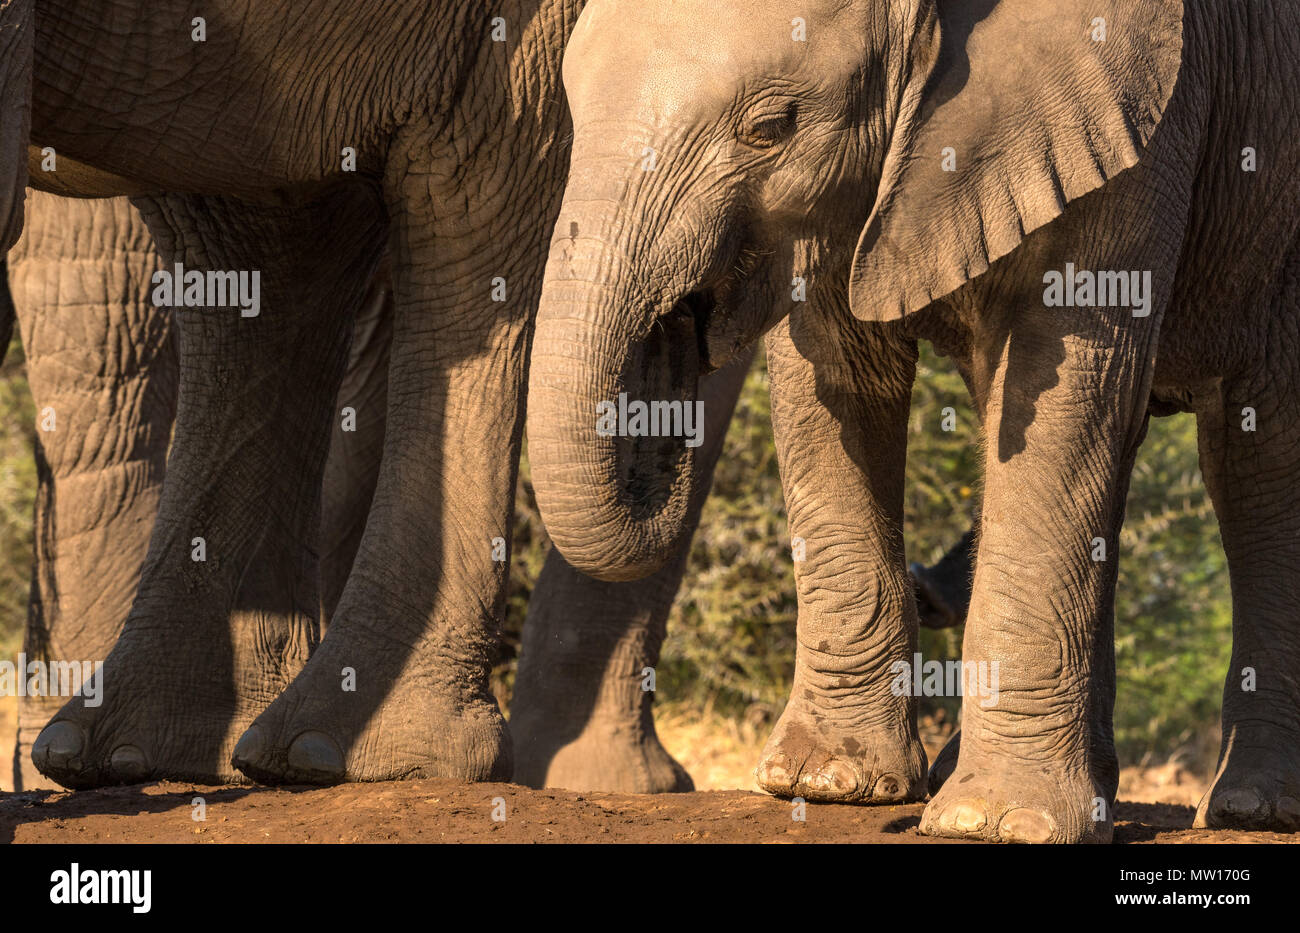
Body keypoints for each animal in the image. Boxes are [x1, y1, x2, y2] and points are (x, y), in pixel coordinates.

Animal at [525, 0, 1300, 843]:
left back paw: (1252, 807)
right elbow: (835, 373)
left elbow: (1062, 381)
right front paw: (830, 782)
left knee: (1259, 461)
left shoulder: (1136, 111)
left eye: (770, 127)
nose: (680, 324)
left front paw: (992, 821)